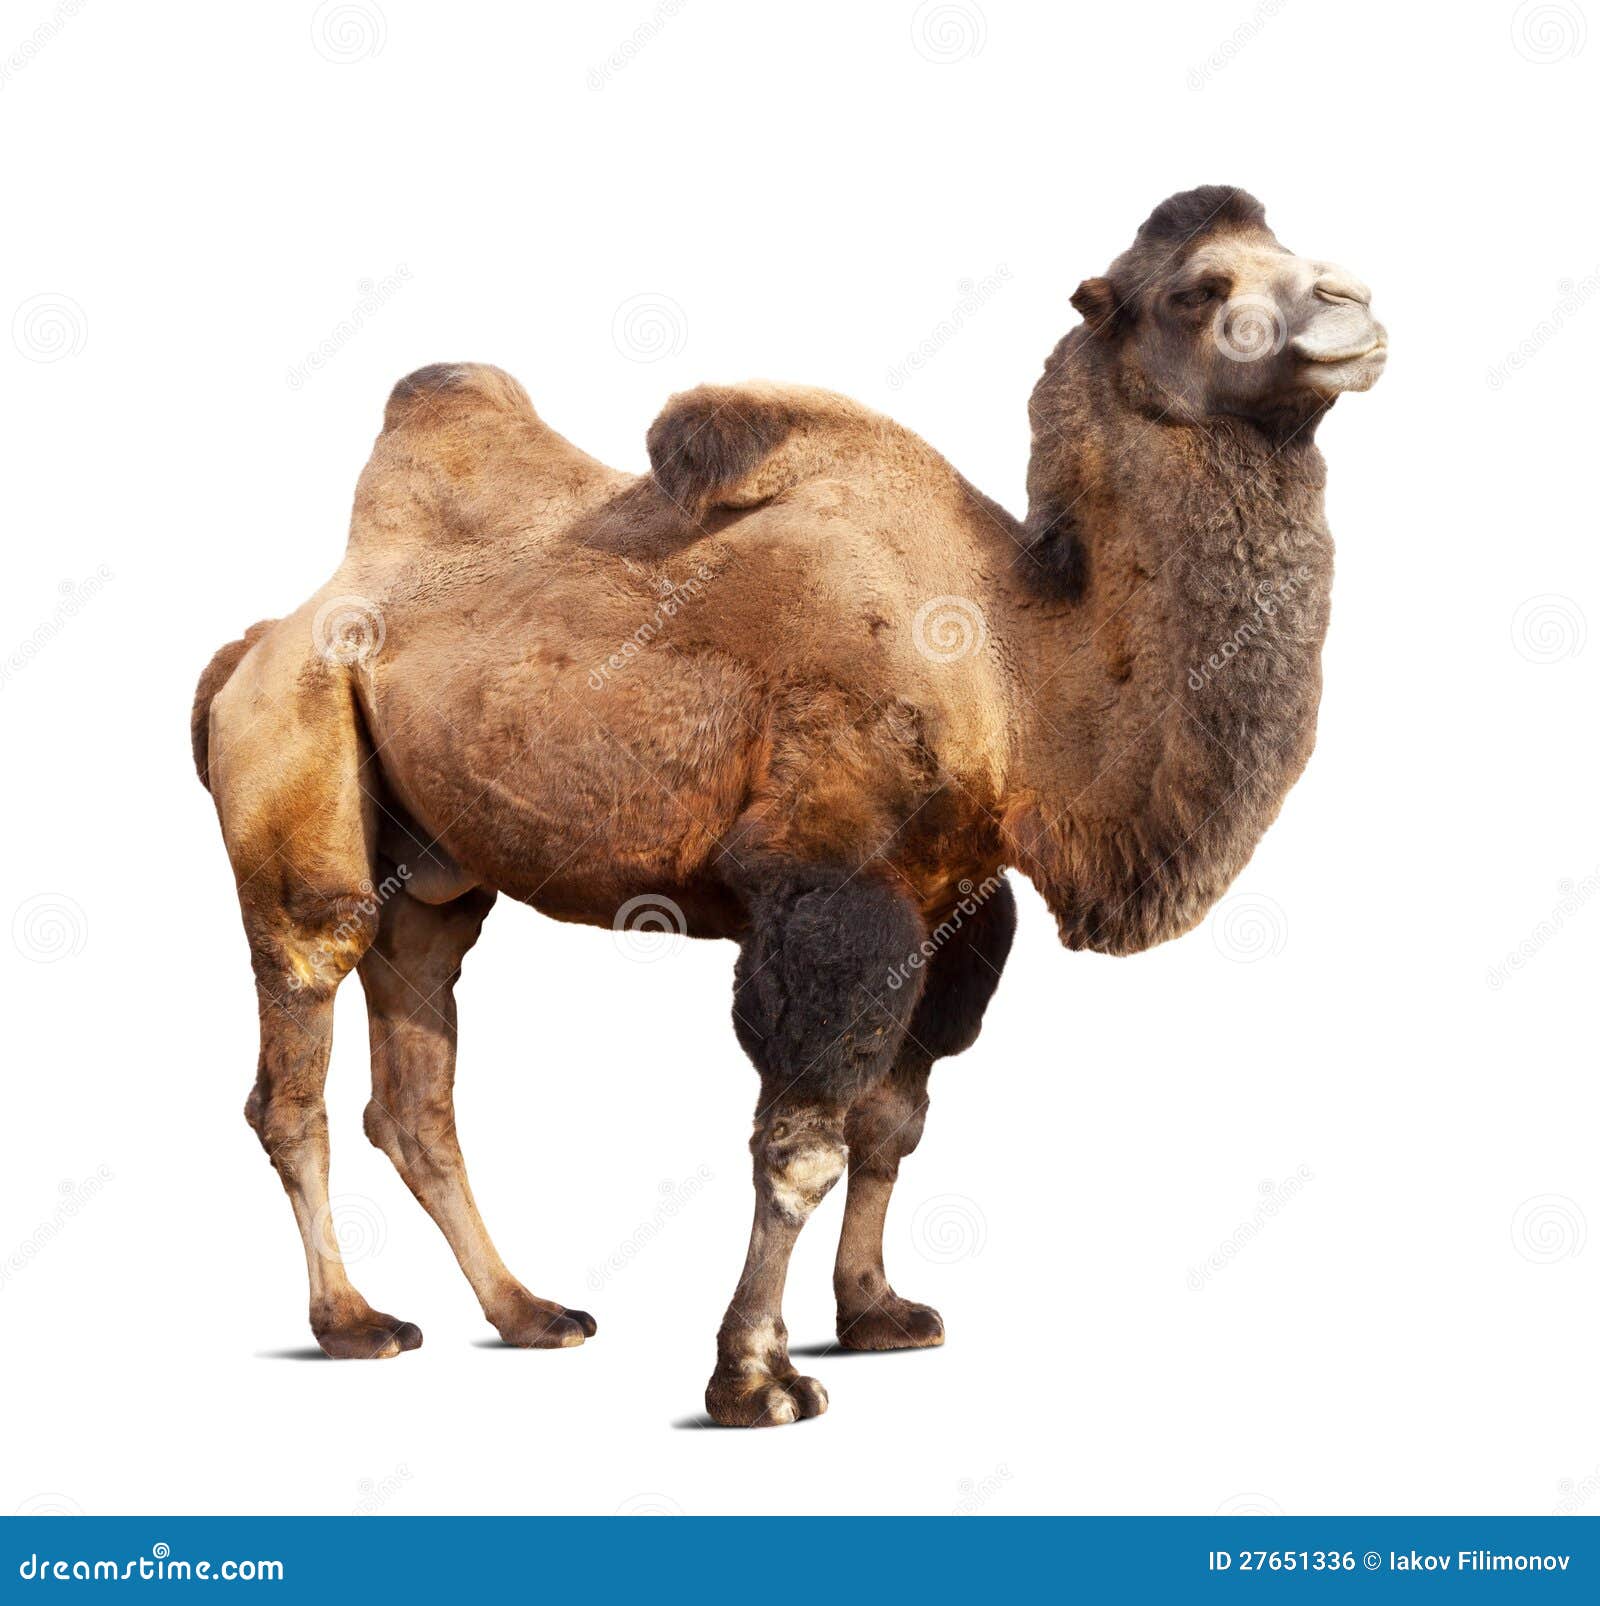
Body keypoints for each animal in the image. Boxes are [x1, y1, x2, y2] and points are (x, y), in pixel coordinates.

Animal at [192, 186, 1385, 1426]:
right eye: (1198, 290)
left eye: (1285, 251)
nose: (1351, 303)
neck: (1017, 659)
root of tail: (250, 647)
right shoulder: (828, 883)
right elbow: (802, 1139)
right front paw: (755, 1376)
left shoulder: (957, 899)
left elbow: (894, 1119)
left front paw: (874, 1314)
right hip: (296, 767)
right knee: (299, 1040)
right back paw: (354, 1323)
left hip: (433, 875)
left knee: (416, 1092)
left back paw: (529, 1313)